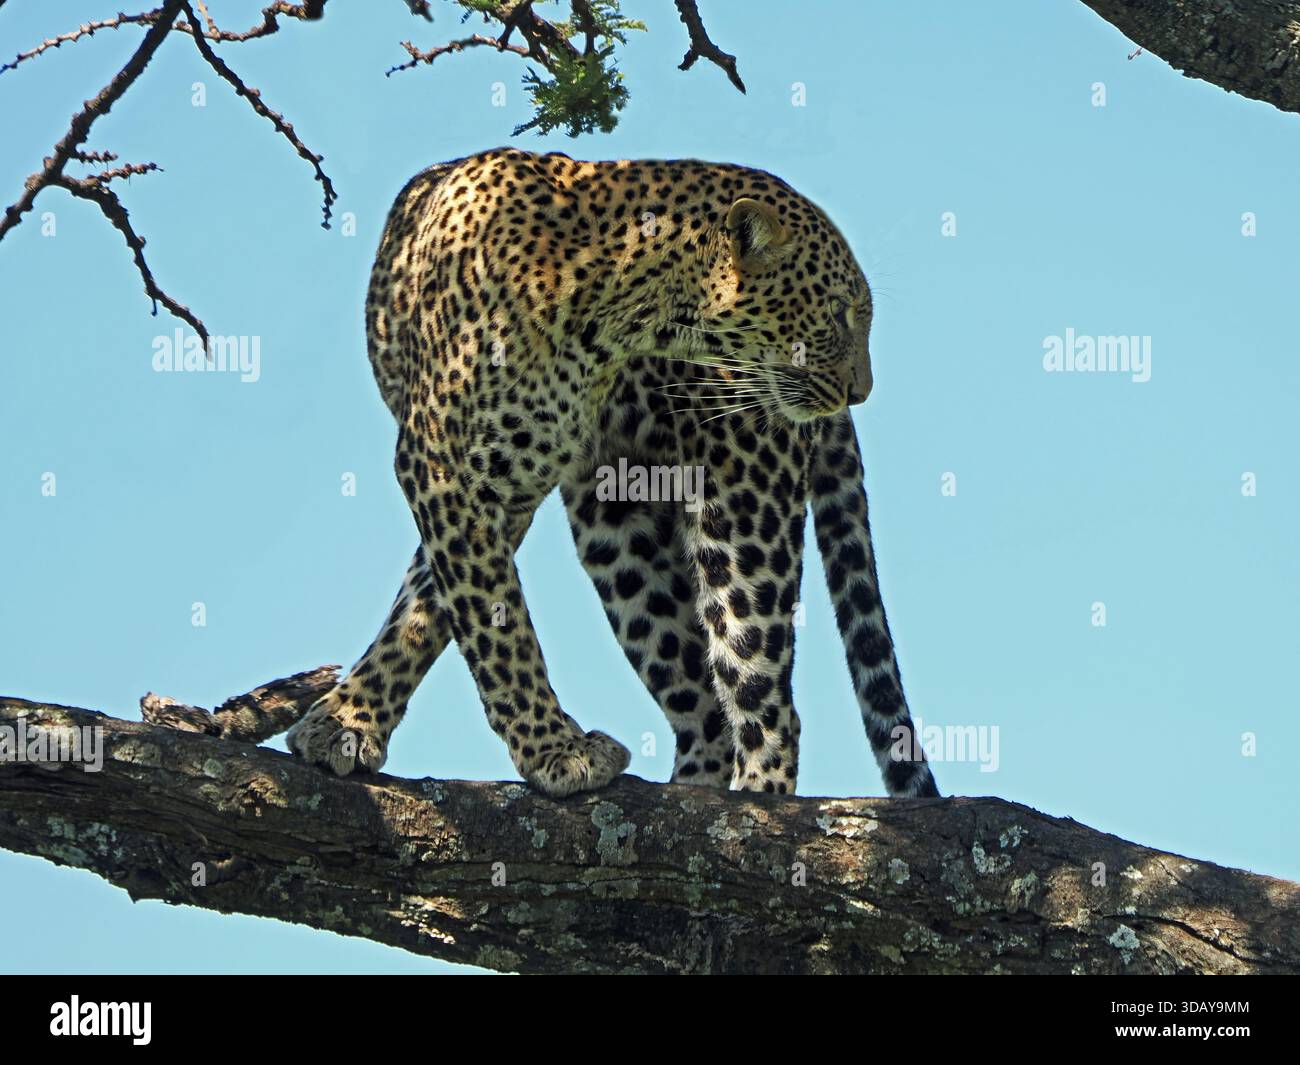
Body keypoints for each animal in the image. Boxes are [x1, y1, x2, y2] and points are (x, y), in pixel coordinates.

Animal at [286, 147, 937, 799]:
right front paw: (348, 721)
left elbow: (474, 617)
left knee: (763, 696)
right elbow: (462, 613)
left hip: (741, 507)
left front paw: (553, 750)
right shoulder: (455, 470)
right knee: (704, 708)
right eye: (839, 313)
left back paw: (758, 803)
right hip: (621, 526)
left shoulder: (485, 481)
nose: (861, 391)